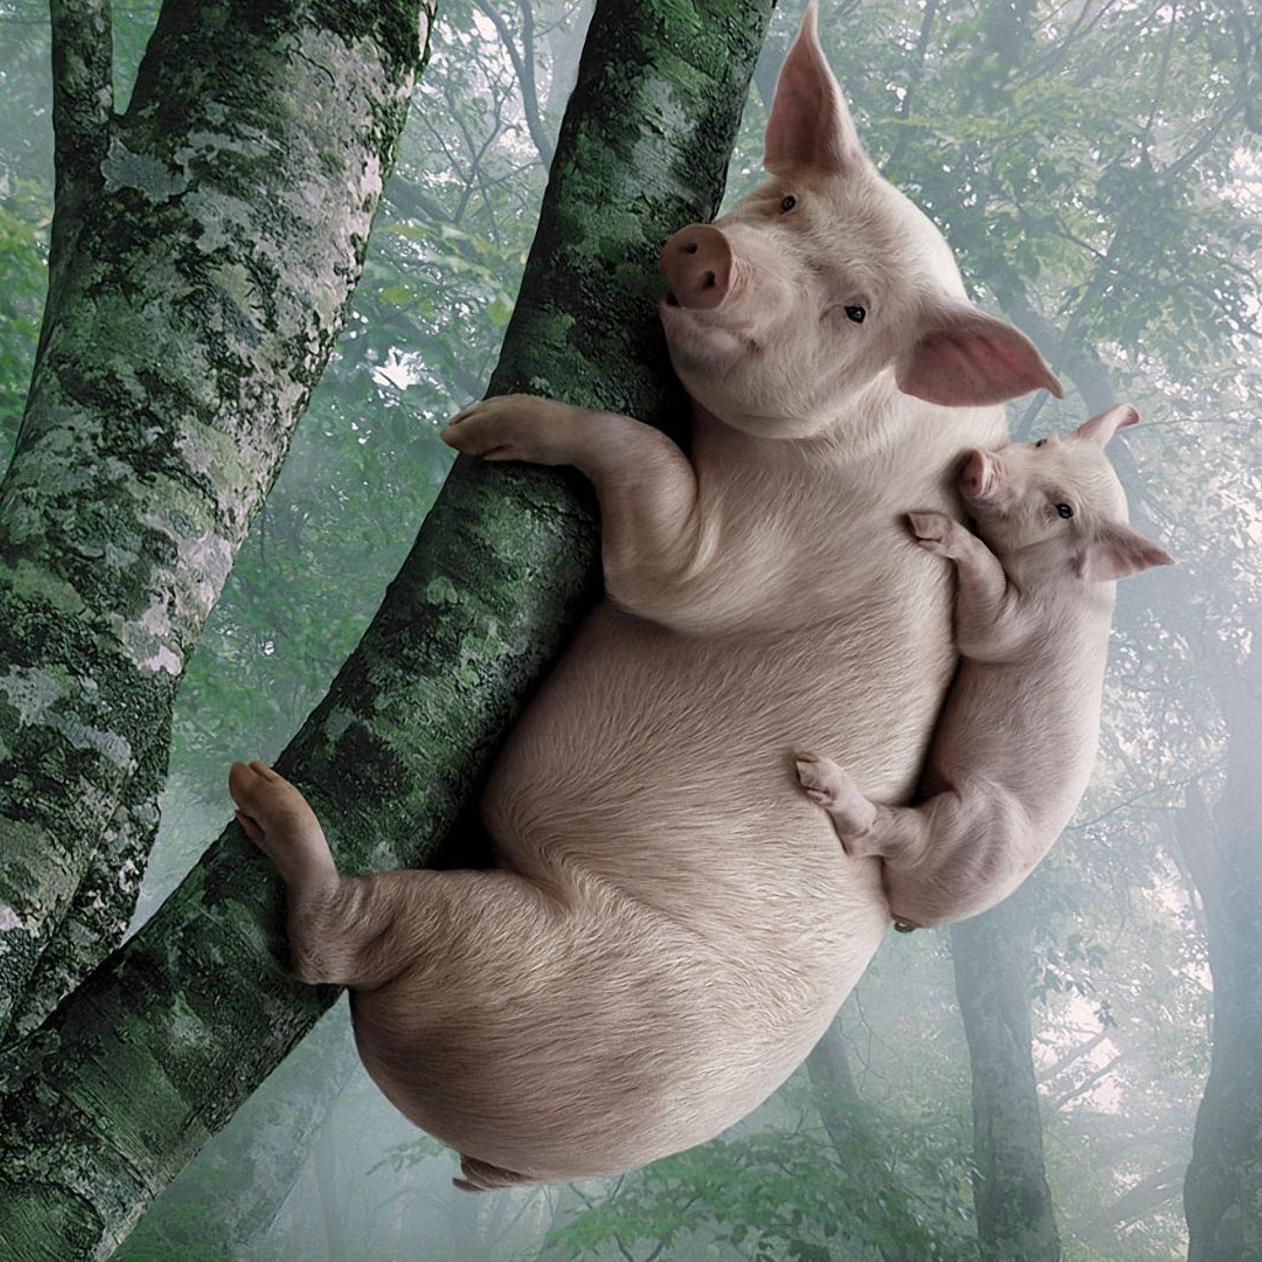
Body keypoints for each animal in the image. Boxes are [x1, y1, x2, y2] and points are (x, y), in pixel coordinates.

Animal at [228, 0, 1063, 1190]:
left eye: (854, 311)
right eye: (788, 202)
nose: (714, 253)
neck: (863, 448)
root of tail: (508, 1154)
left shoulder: (761, 544)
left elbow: (658, 528)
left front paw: (473, 429)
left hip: (515, 962)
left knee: (337, 941)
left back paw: (261, 795)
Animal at [794, 404, 1173, 929]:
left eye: (1064, 510)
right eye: (1042, 442)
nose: (980, 463)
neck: (1061, 572)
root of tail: (914, 914)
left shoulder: (1023, 619)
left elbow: (984, 619)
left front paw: (926, 525)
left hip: (965, 828)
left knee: (882, 836)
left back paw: (812, 771)